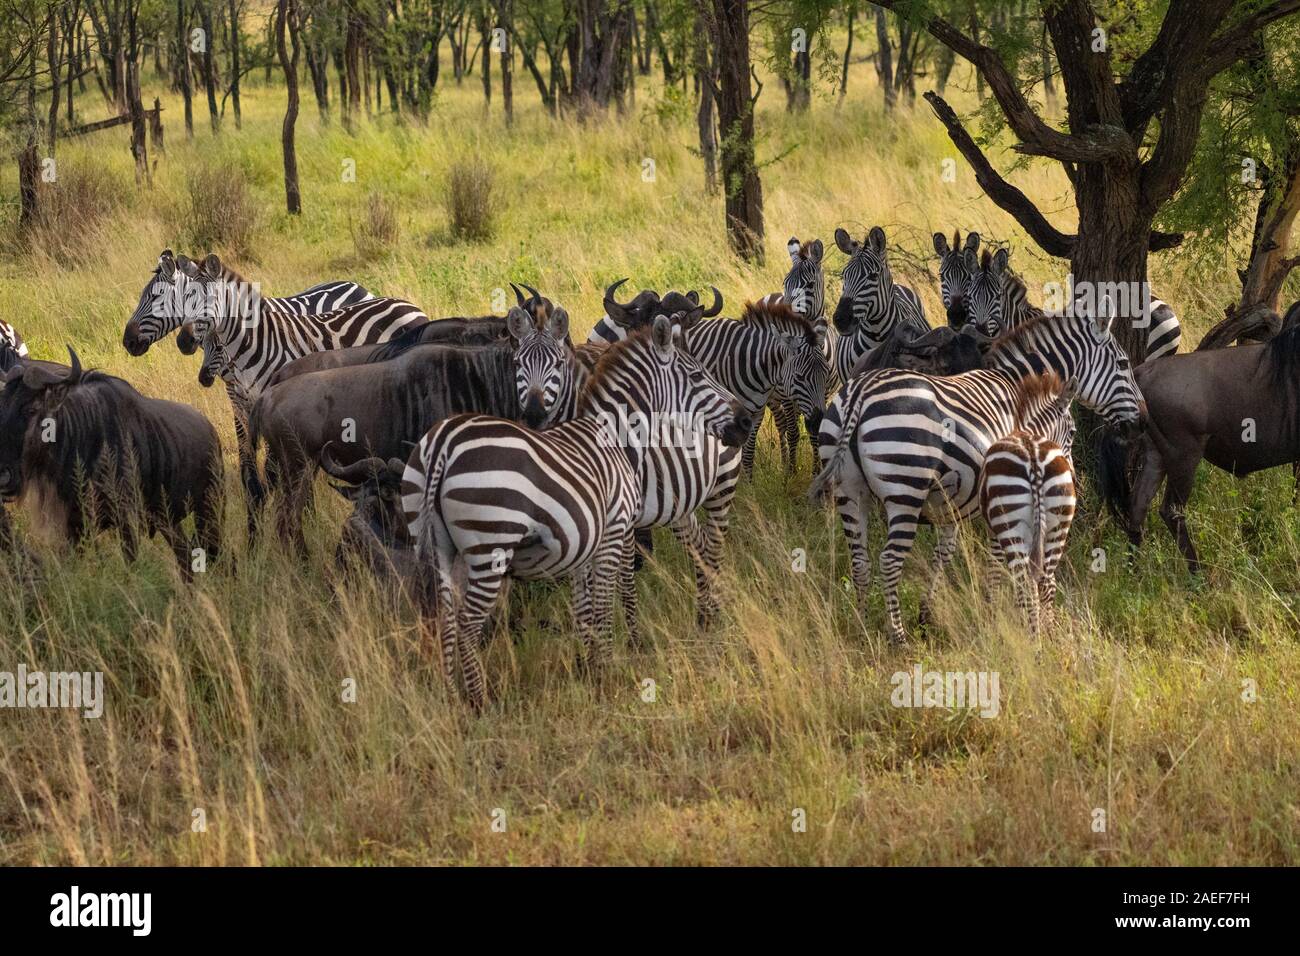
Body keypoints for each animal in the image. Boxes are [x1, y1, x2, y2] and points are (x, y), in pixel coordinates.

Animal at [396, 315, 749, 709]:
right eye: (698, 376)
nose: (745, 421)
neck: (615, 438)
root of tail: (442, 444)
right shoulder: (614, 530)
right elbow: (606, 601)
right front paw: (608, 670)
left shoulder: (585, 539)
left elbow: (584, 607)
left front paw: (590, 667)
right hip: (490, 547)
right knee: (467, 623)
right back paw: (478, 702)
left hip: (436, 543)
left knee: (444, 618)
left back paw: (451, 696)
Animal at [979, 379, 1078, 636]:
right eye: (1073, 432)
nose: (1074, 474)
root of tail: (1033, 456)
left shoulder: (995, 533)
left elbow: (994, 571)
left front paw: (992, 614)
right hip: (1059, 525)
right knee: (1046, 581)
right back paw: (1048, 633)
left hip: (1010, 526)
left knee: (1026, 584)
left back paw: (1033, 638)